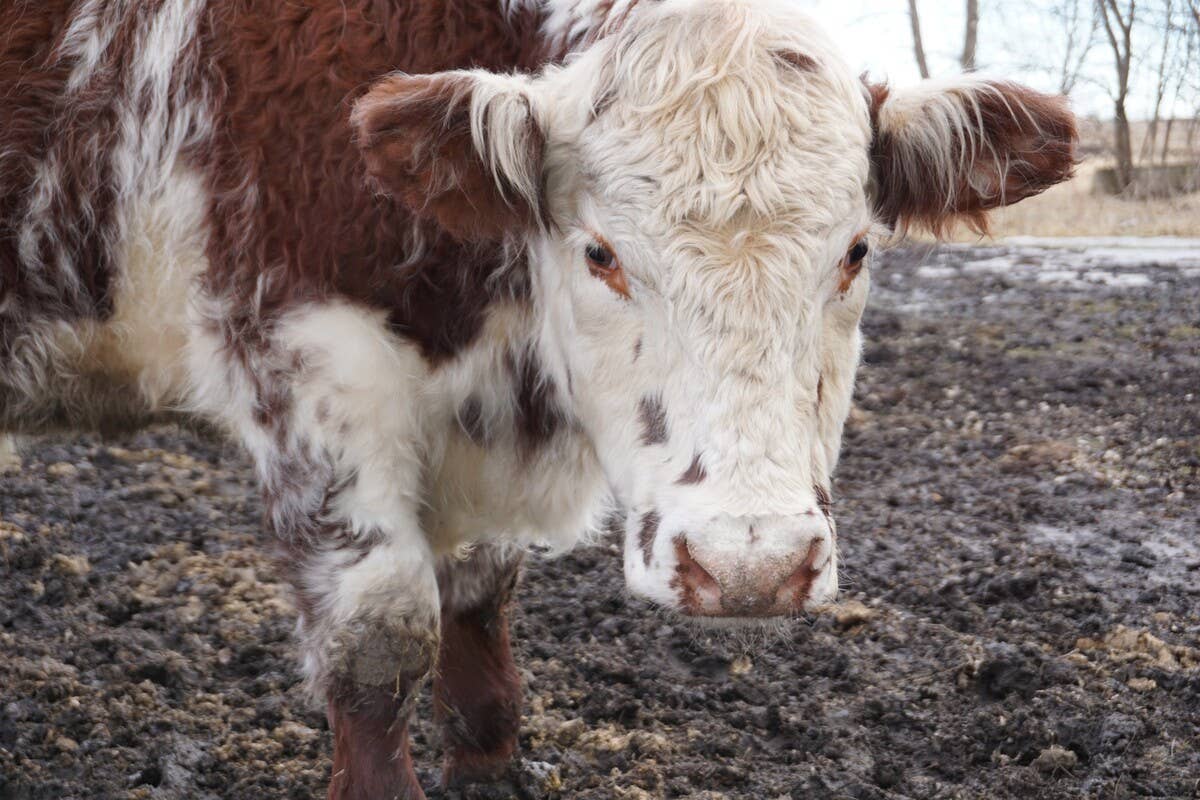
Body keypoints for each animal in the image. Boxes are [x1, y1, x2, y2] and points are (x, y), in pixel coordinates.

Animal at [0, 0, 1077, 796]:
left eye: (855, 249)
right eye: (600, 251)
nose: (750, 565)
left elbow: (479, 595)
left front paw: (489, 764)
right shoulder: (308, 368)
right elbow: (382, 636)